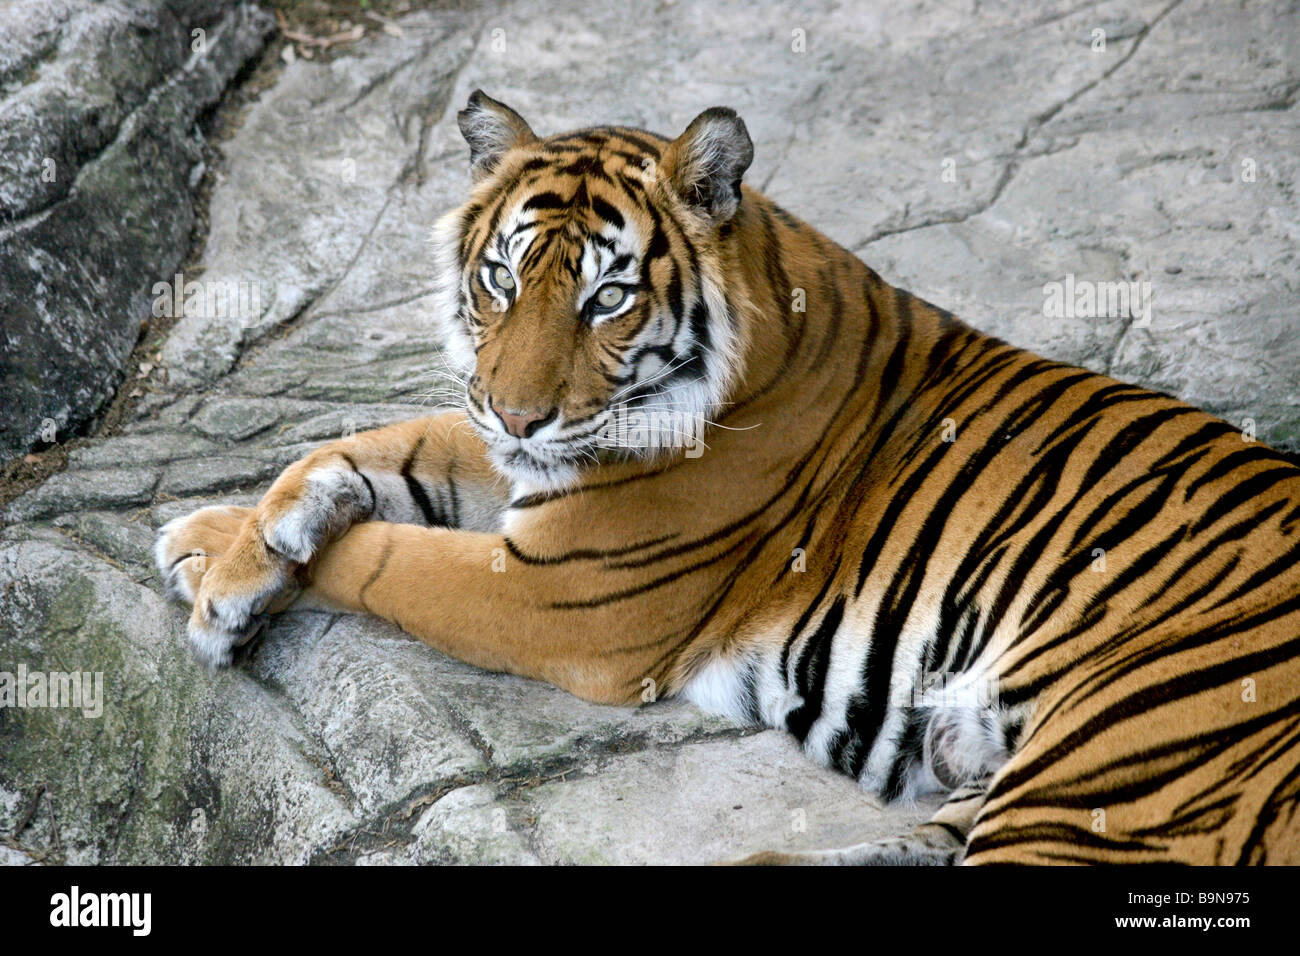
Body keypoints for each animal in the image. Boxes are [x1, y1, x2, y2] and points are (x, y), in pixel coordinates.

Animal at [154, 90, 1300, 865]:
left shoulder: (560, 590)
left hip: (1097, 774)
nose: (519, 414)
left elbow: (390, 554)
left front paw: (215, 584)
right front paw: (222, 540)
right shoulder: (519, 466)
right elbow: (365, 451)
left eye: (606, 298)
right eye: (502, 280)